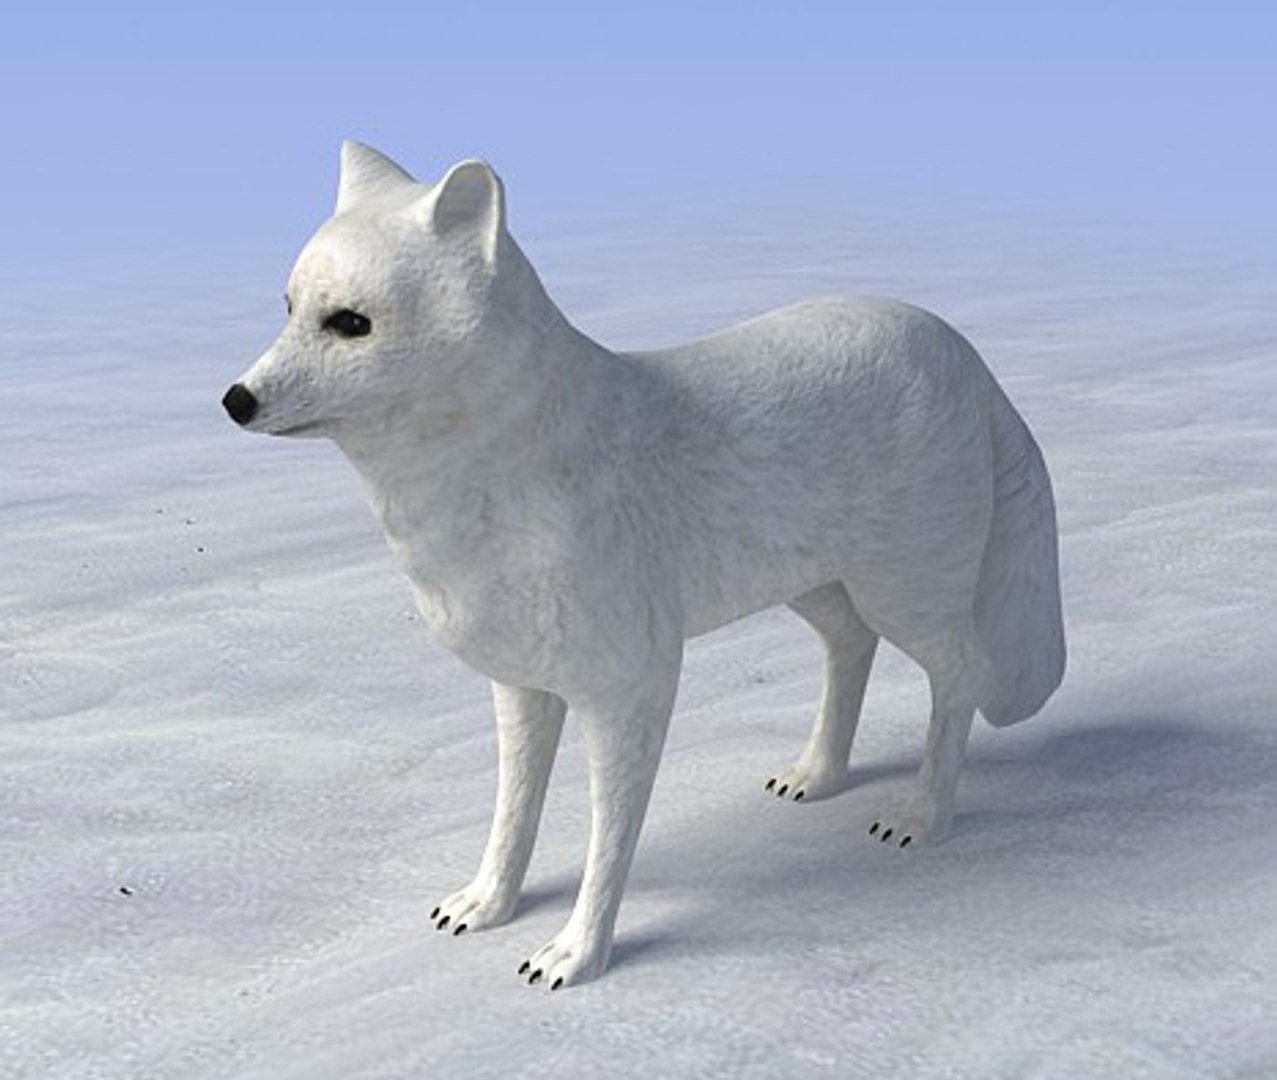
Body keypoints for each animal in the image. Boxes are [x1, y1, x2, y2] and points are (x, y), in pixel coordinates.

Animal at [223, 141, 1065, 988]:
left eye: (349, 324)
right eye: (287, 308)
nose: (235, 400)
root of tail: (951, 342)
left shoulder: (632, 688)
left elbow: (607, 835)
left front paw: (577, 952)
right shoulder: (521, 685)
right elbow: (513, 812)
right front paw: (488, 903)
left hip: (905, 593)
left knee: (960, 672)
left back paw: (923, 815)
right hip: (817, 586)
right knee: (847, 646)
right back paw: (817, 774)